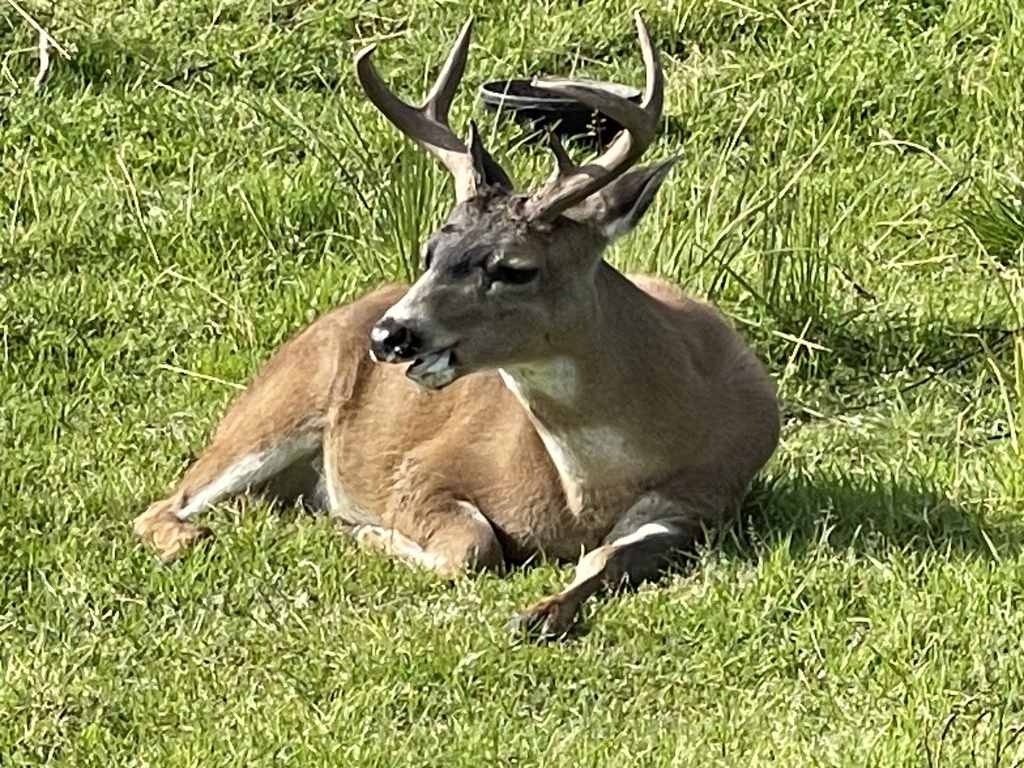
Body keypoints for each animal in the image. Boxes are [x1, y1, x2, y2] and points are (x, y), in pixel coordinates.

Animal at [132, 13, 780, 640]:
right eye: (429, 249)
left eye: (514, 268)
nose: (390, 335)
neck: (586, 494)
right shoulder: (421, 470)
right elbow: (474, 547)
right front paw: (367, 533)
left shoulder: (703, 501)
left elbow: (607, 560)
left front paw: (542, 613)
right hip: (273, 409)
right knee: (164, 503)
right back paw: (196, 537)